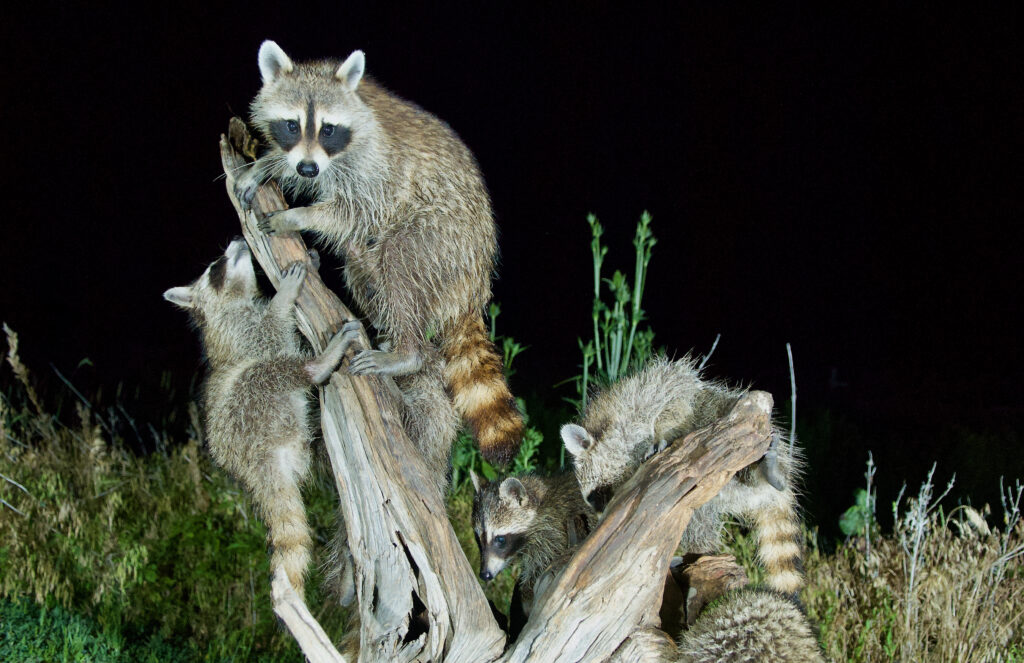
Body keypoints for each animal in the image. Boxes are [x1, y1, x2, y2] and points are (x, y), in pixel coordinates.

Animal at [164, 239, 350, 596]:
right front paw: (284, 296)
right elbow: (269, 331)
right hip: (247, 414)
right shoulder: (237, 329)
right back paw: (314, 367)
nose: (236, 240)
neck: (232, 301)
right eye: (215, 266)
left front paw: (312, 263)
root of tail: (249, 465)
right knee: (261, 374)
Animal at [234, 40, 522, 467]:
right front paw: (268, 163)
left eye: (328, 129)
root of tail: (475, 283)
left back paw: (407, 351)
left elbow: (354, 212)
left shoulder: (376, 169)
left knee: (399, 262)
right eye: (291, 125)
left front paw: (297, 214)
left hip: (444, 237)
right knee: (361, 263)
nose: (307, 168)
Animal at [471, 471, 596, 619]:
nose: (485, 575)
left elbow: (544, 562)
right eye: (478, 539)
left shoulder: (553, 529)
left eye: (500, 539)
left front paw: (527, 594)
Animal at [560, 356, 804, 595]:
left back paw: (767, 471)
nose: (601, 524)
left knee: (715, 409)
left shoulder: (651, 390)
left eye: (594, 496)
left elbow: (678, 404)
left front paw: (660, 432)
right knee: (698, 527)